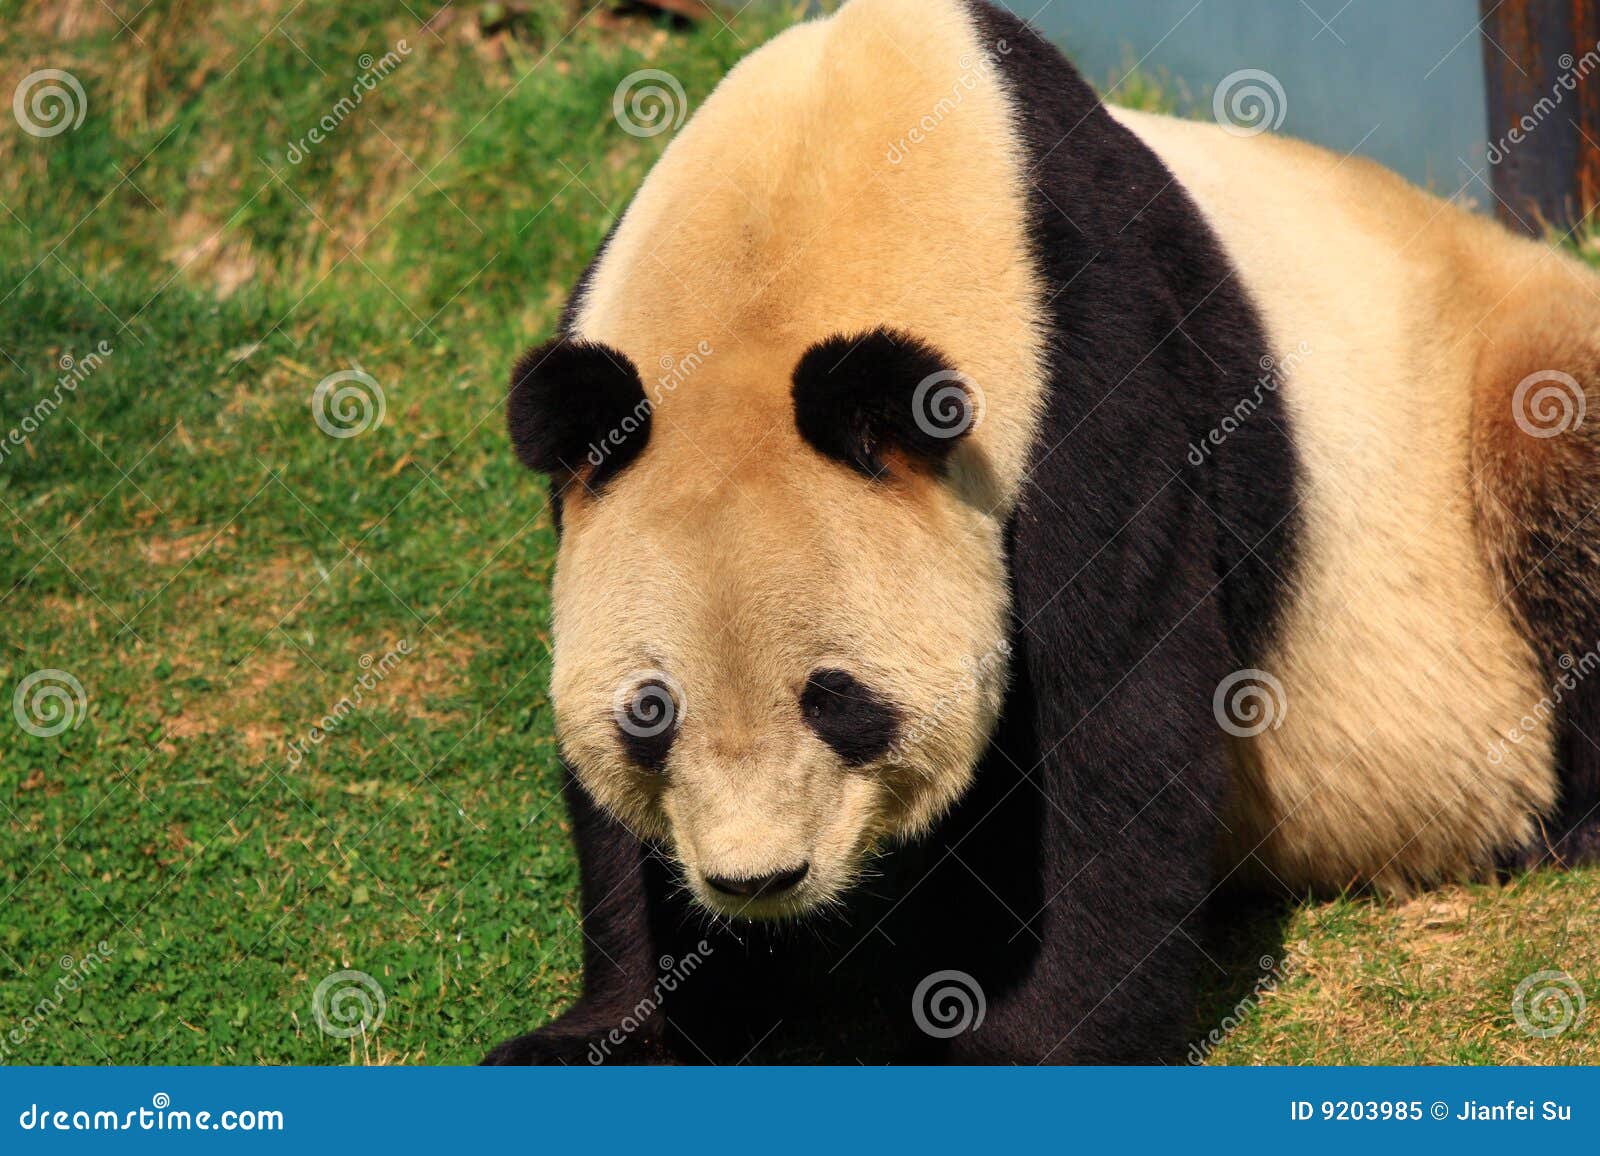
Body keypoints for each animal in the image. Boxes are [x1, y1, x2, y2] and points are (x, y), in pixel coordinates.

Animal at [487, 0, 1600, 1064]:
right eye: (649, 712)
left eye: (837, 700)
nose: (758, 879)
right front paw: (609, 1031)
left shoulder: (1092, 370)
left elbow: (1110, 724)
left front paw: (1019, 1046)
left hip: (1504, 383)